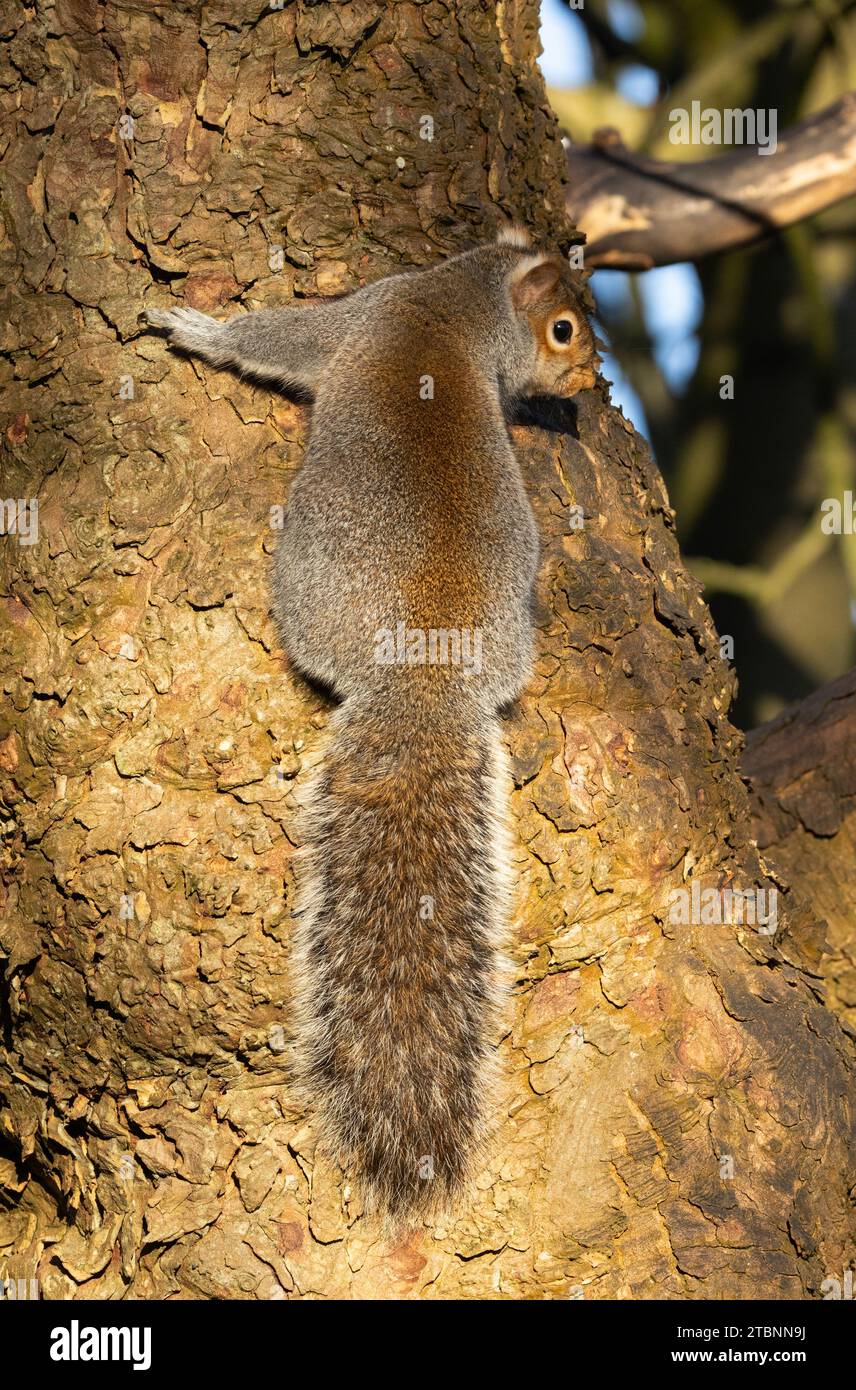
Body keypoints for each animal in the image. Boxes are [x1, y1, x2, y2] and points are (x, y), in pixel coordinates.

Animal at [146, 226, 598, 1222]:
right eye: (565, 327)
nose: (588, 378)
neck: (452, 302)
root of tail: (424, 679)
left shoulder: (353, 318)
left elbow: (276, 340)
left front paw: (196, 326)